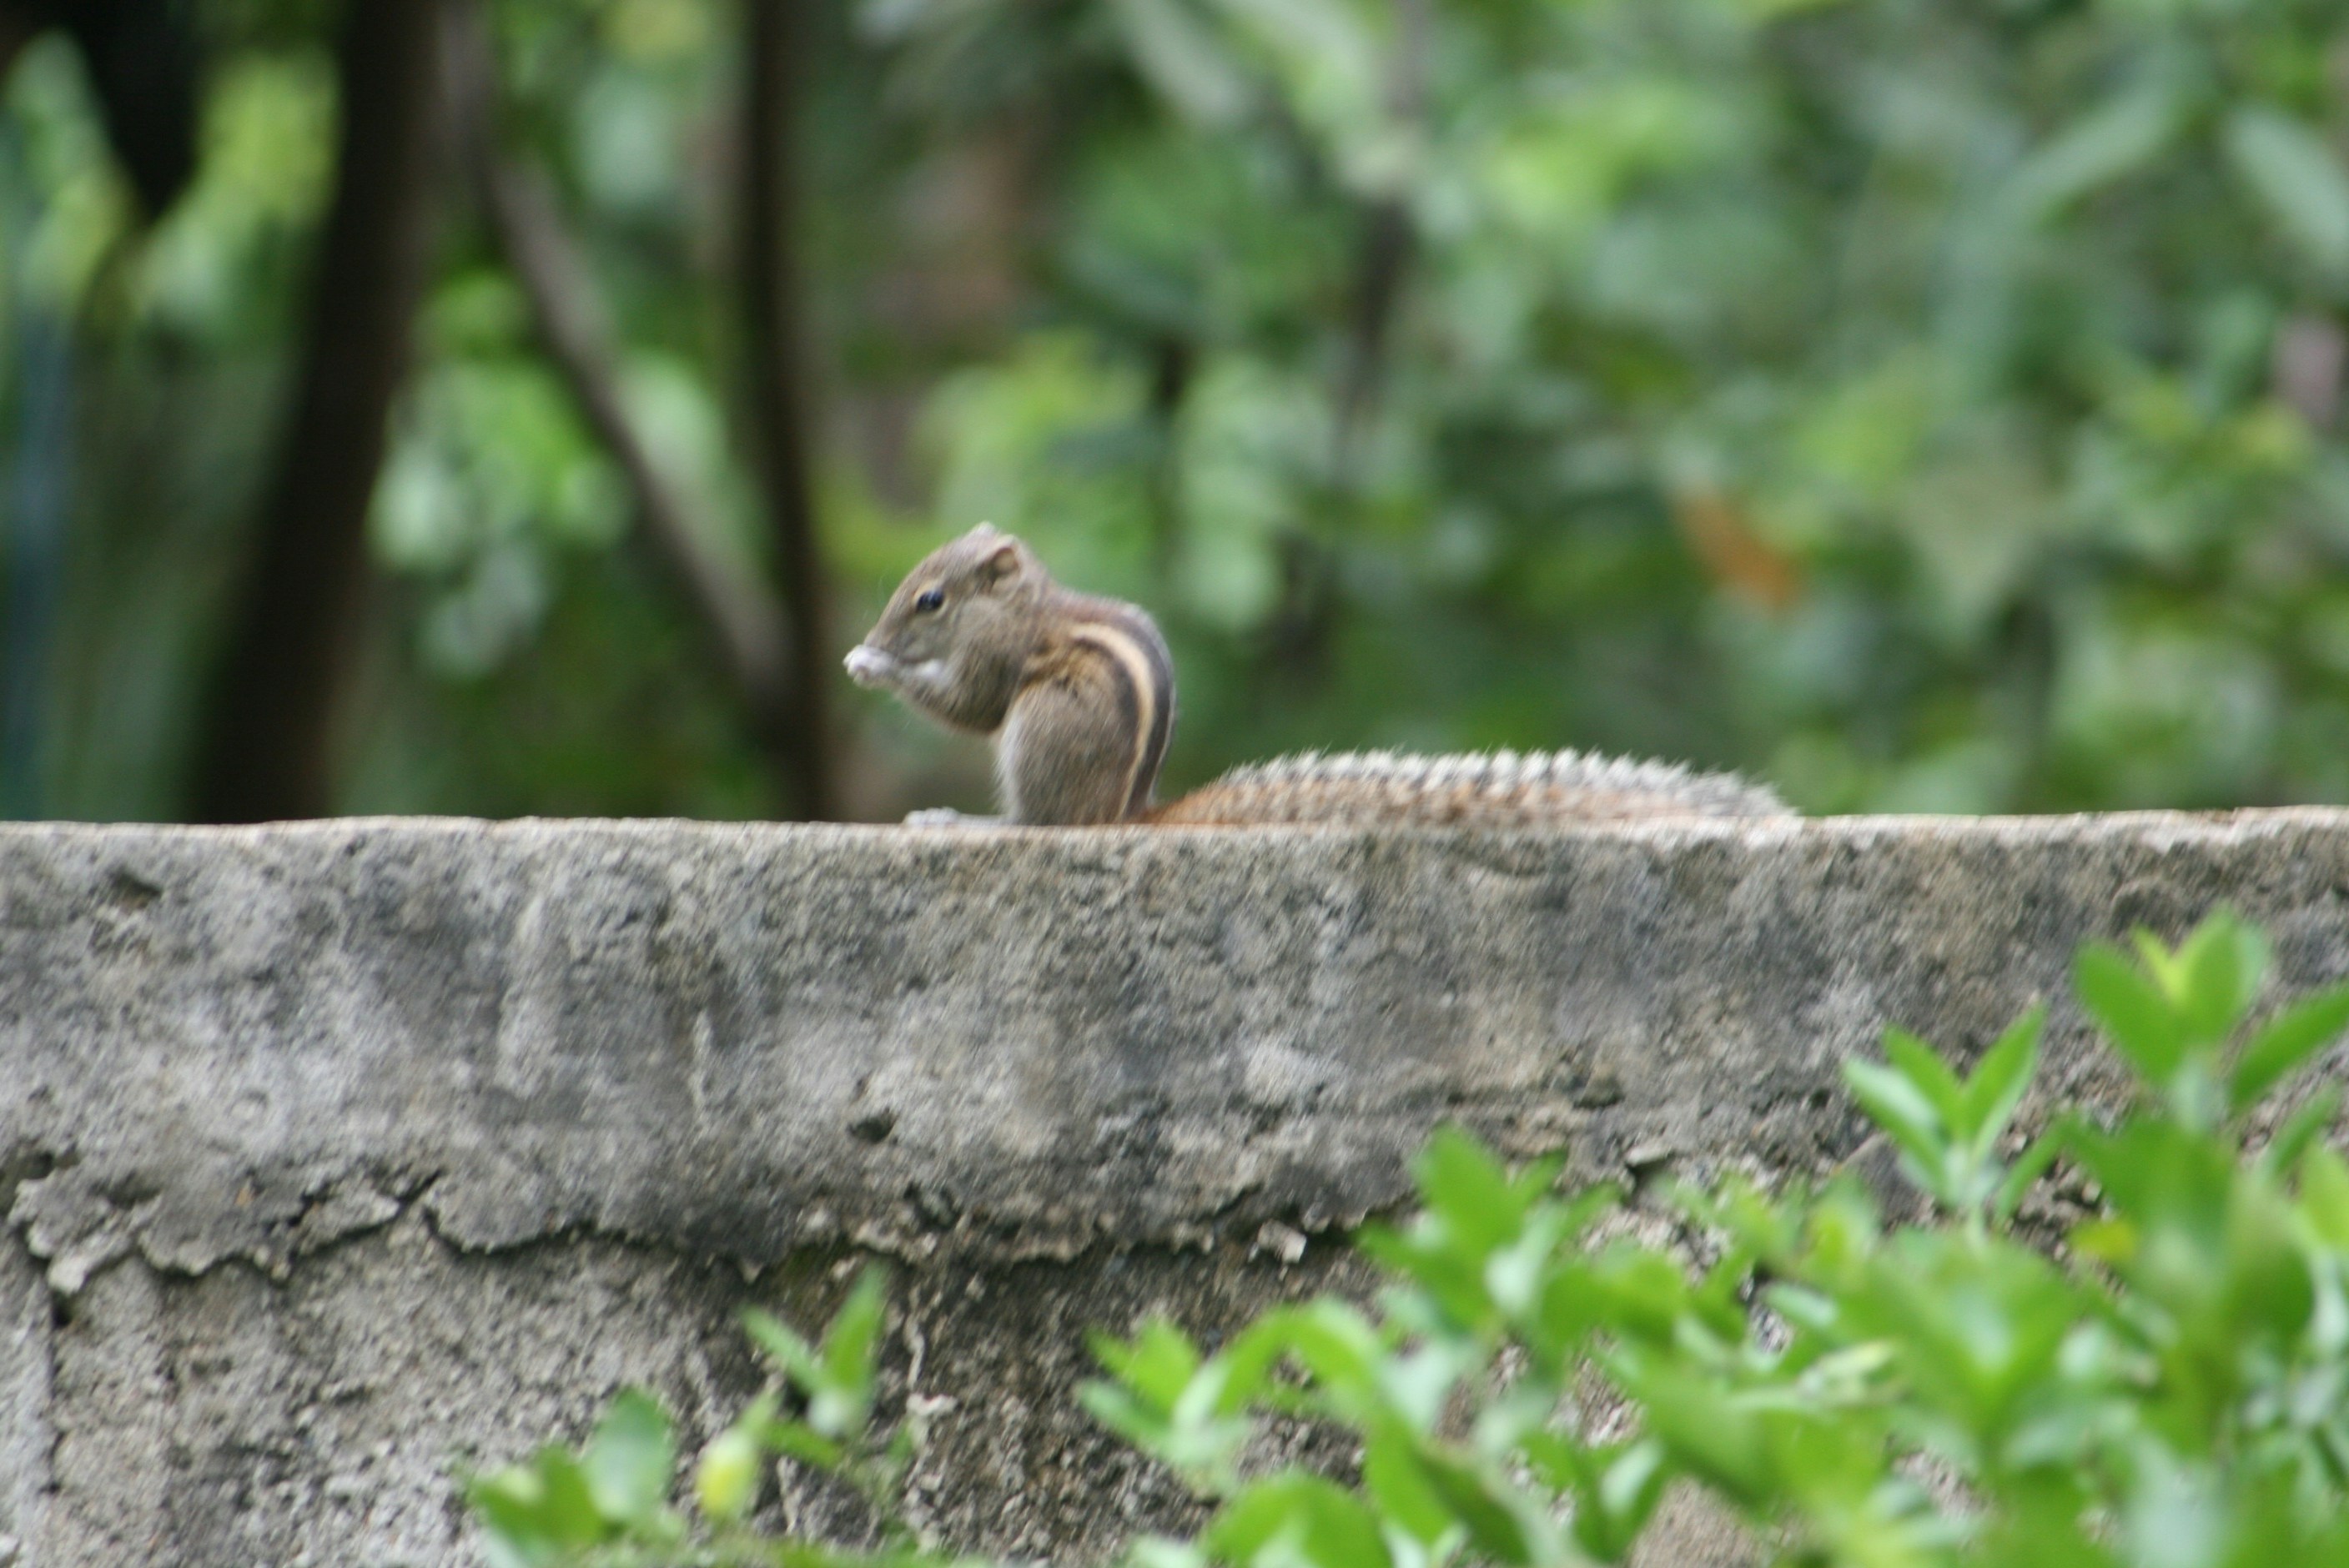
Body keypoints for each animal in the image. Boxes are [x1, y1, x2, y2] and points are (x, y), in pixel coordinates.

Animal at [844, 524, 1790, 827]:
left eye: (928, 599)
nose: (874, 633)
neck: (1023, 604)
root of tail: (1130, 814)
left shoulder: (1003, 662)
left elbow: (970, 705)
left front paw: (874, 663)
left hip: (1040, 737)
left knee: (1041, 828)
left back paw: (964, 821)